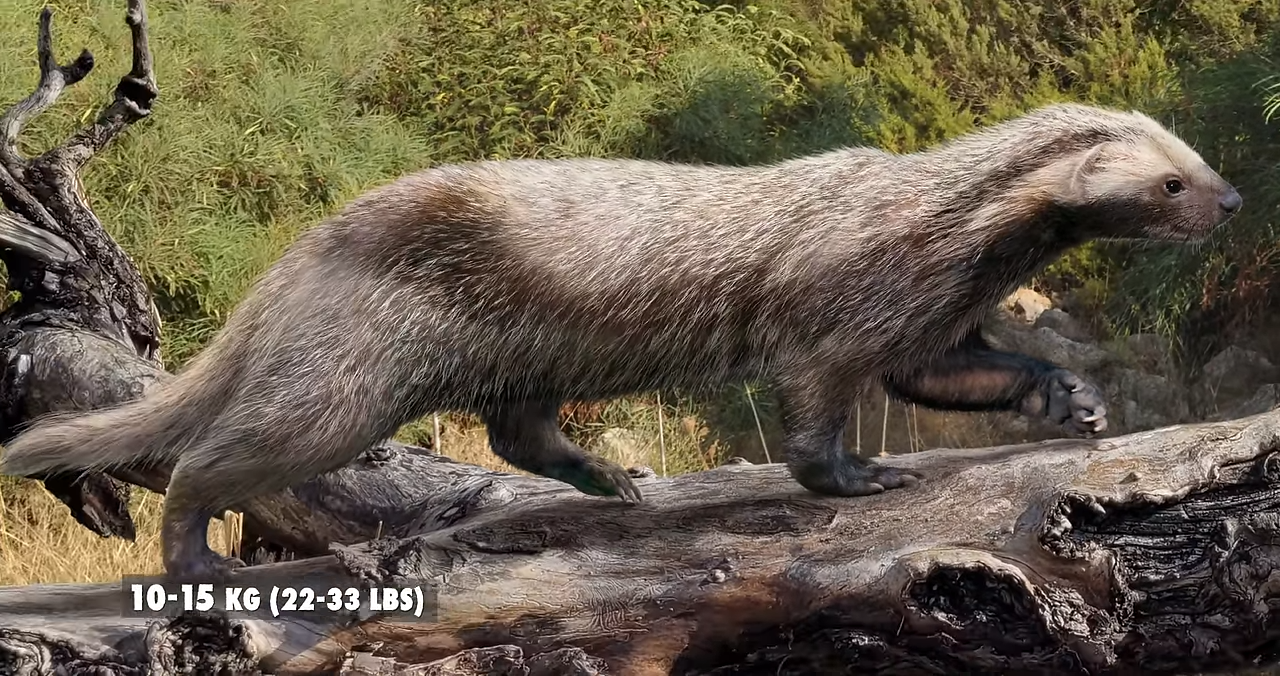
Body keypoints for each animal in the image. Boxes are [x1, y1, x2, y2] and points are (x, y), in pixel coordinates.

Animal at [0, 103, 1241, 580]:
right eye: (1172, 178)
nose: (1232, 199)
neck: (947, 228)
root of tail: (301, 258)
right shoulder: (845, 311)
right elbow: (815, 418)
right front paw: (861, 476)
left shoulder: (929, 317)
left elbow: (976, 368)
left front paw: (1071, 401)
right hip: (343, 388)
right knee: (209, 461)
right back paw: (198, 559)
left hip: (520, 360)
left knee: (519, 435)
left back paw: (614, 476)